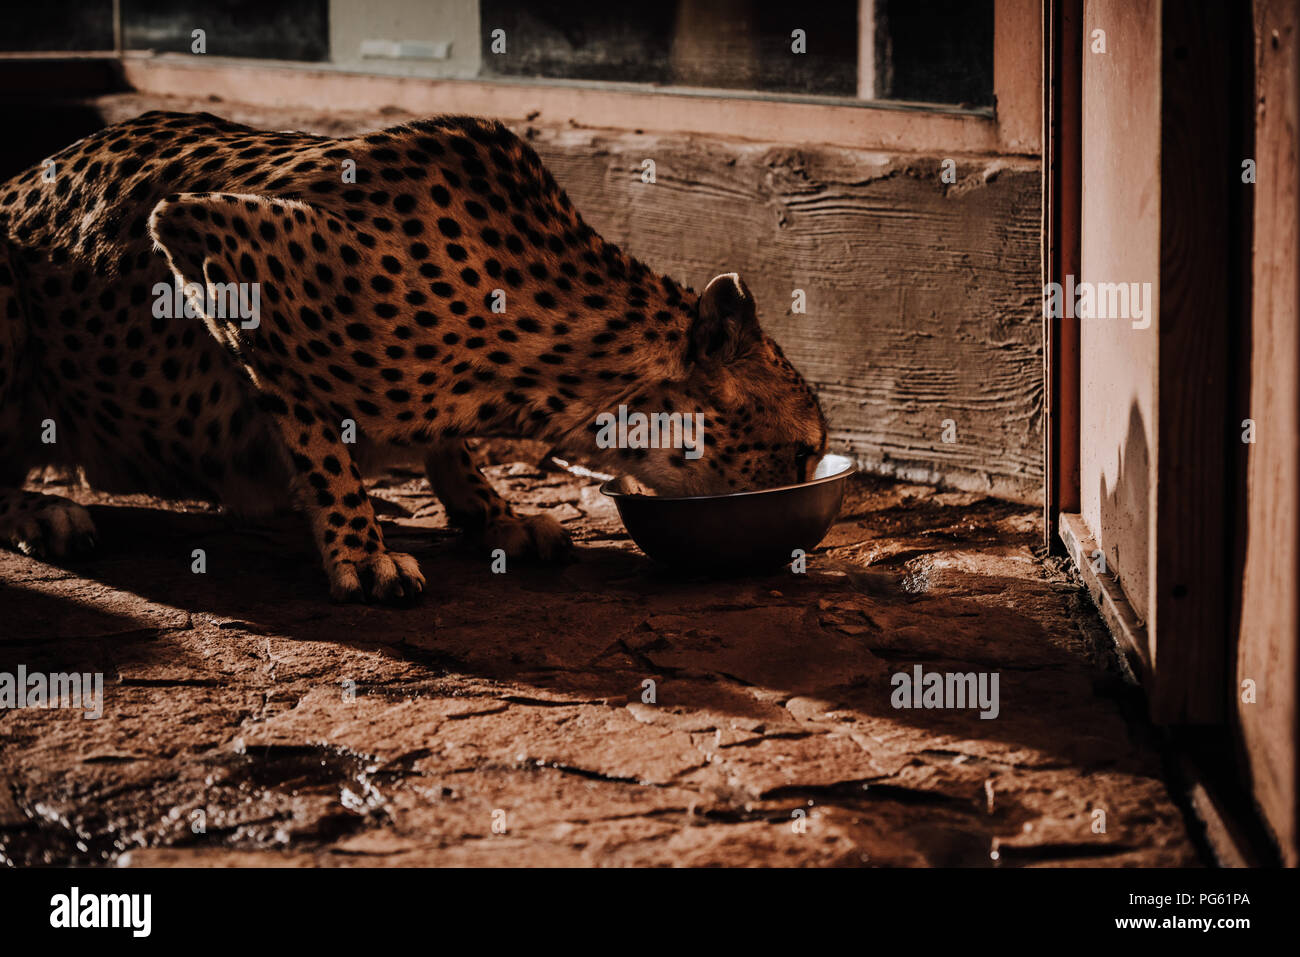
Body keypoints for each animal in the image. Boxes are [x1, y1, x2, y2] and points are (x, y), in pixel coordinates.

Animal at [0, 110, 828, 603]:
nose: (807, 491)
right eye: (803, 450)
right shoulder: (204, 234)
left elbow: (448, 443)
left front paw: (492, 514)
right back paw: (41, 512)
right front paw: (359, 547)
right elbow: (313, 430)